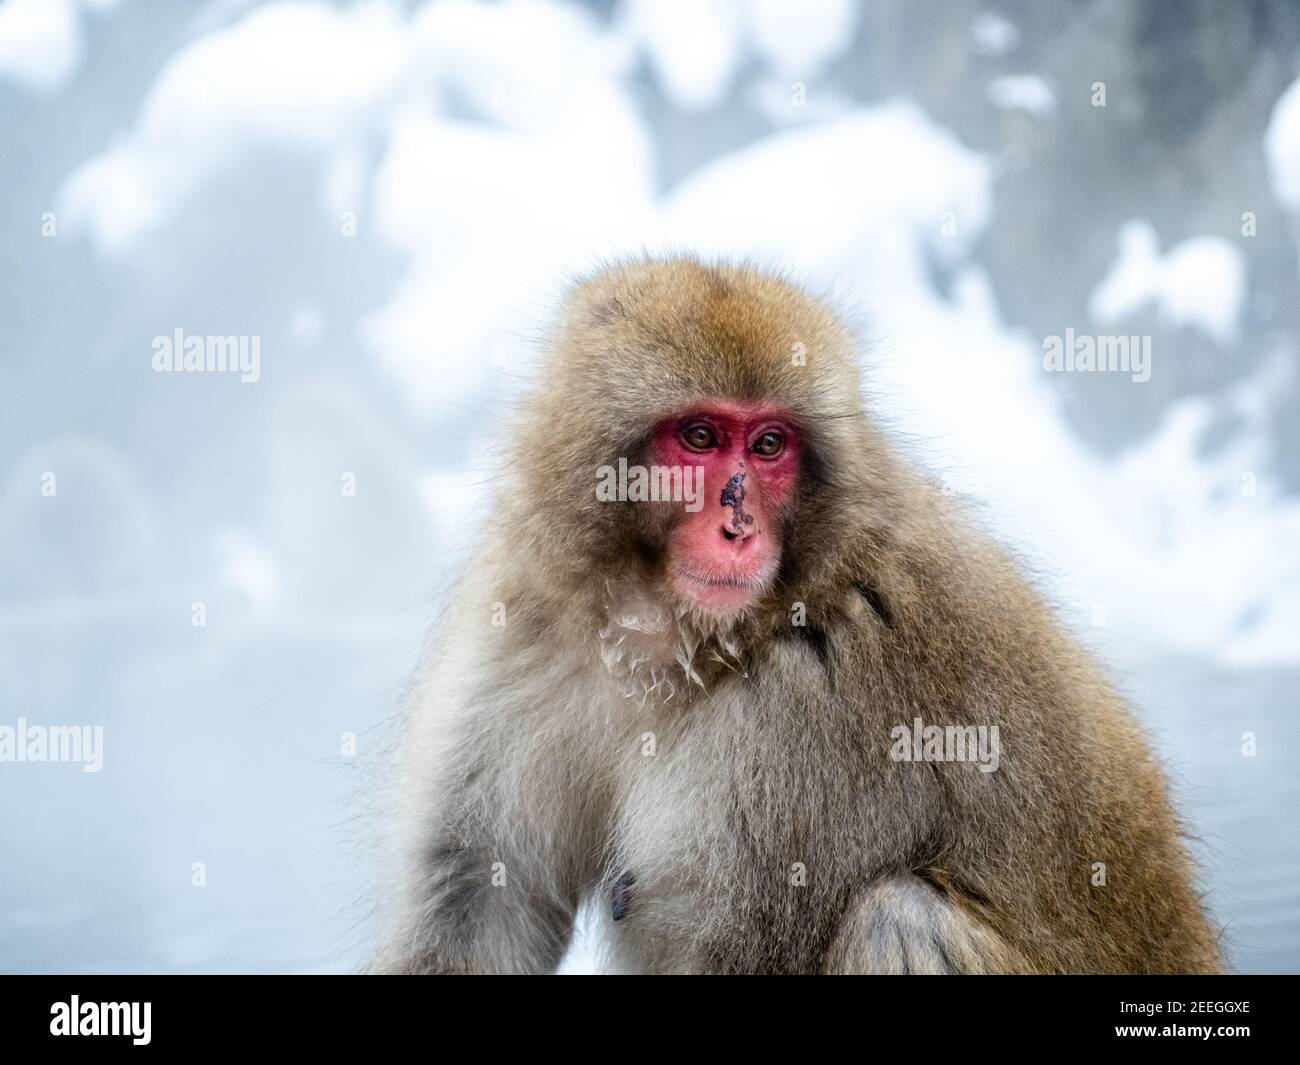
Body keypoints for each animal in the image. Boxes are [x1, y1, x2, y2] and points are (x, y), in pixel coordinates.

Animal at [370, 257, 1221, 975]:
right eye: (701, 436)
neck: (680, 642)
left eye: (771, 443)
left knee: (900, 918)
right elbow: (478, 898)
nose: (738, 528)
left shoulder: (806, 722)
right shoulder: (525, 628)